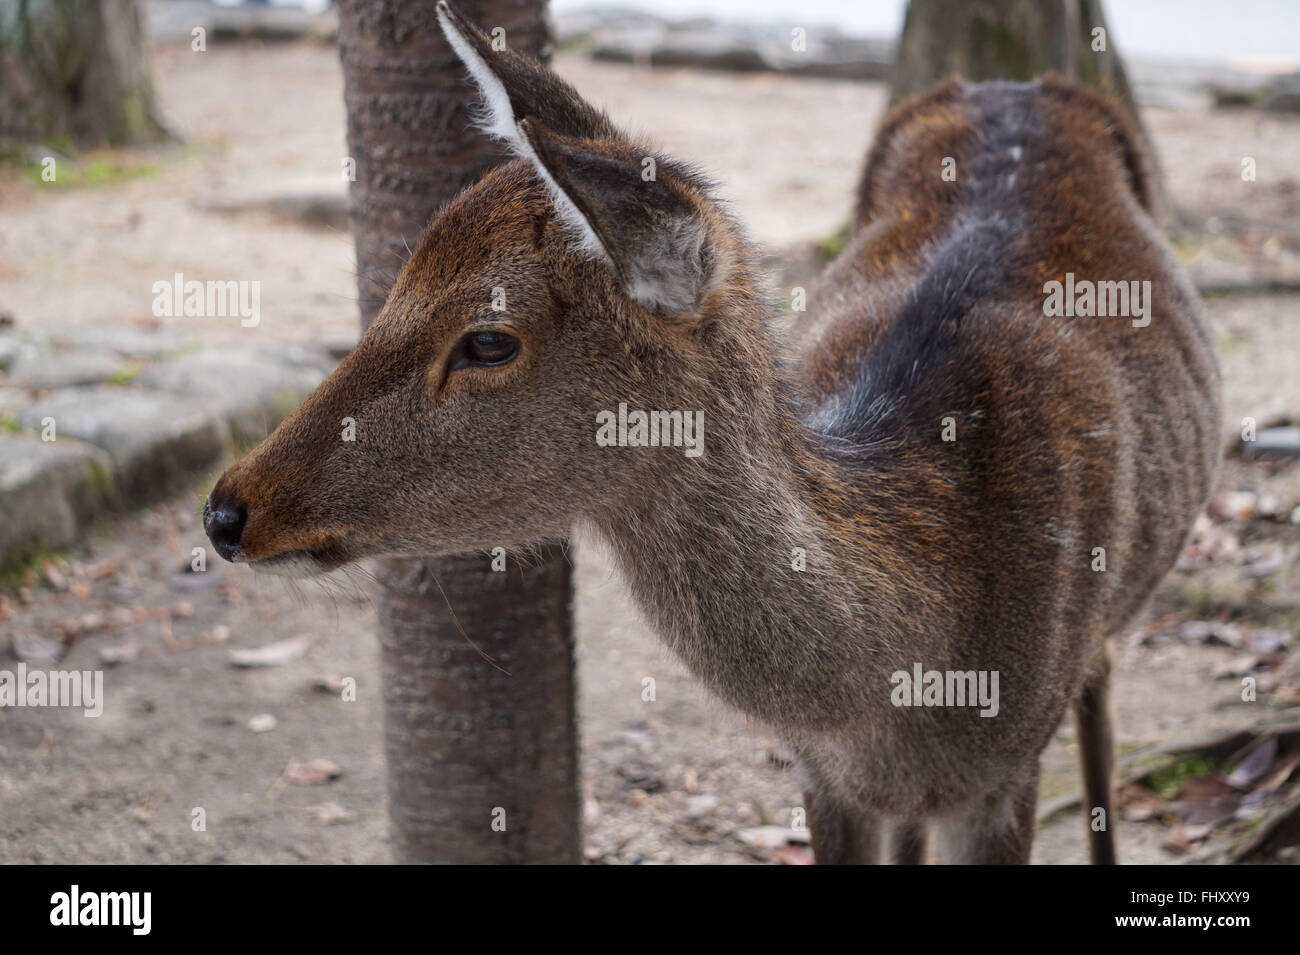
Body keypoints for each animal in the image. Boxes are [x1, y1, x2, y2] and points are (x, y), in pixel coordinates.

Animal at [204, 2, 1221, 864]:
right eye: (392, 286)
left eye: (488, 339)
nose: (226, 507)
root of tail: (1013, 82)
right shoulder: (821, 775)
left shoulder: (1004, 776)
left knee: (1103, 678)